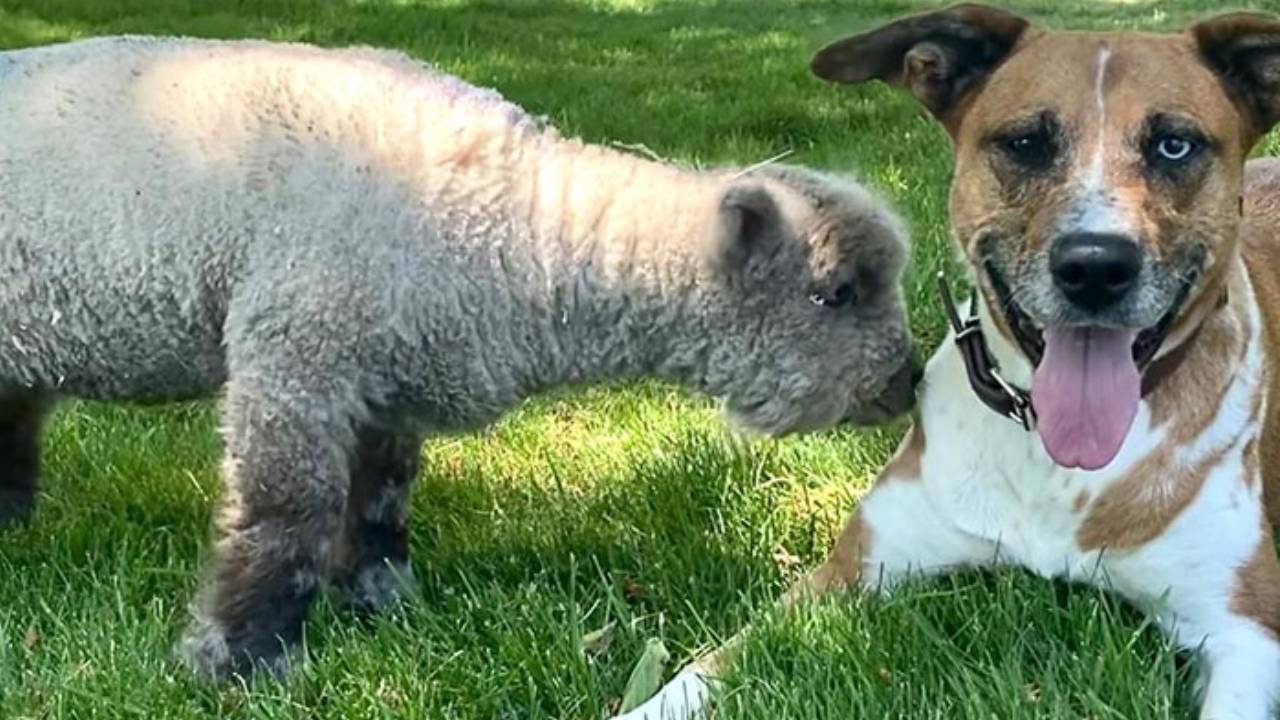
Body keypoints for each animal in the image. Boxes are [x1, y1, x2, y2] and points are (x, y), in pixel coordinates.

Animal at [0, 35, 916, 679]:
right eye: (836, 292)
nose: (908, 382)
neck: (512, 233)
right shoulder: (298, 350)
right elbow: (287, 514)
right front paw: (243, 660)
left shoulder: (387, 378)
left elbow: (380, 503)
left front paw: (383, 607)